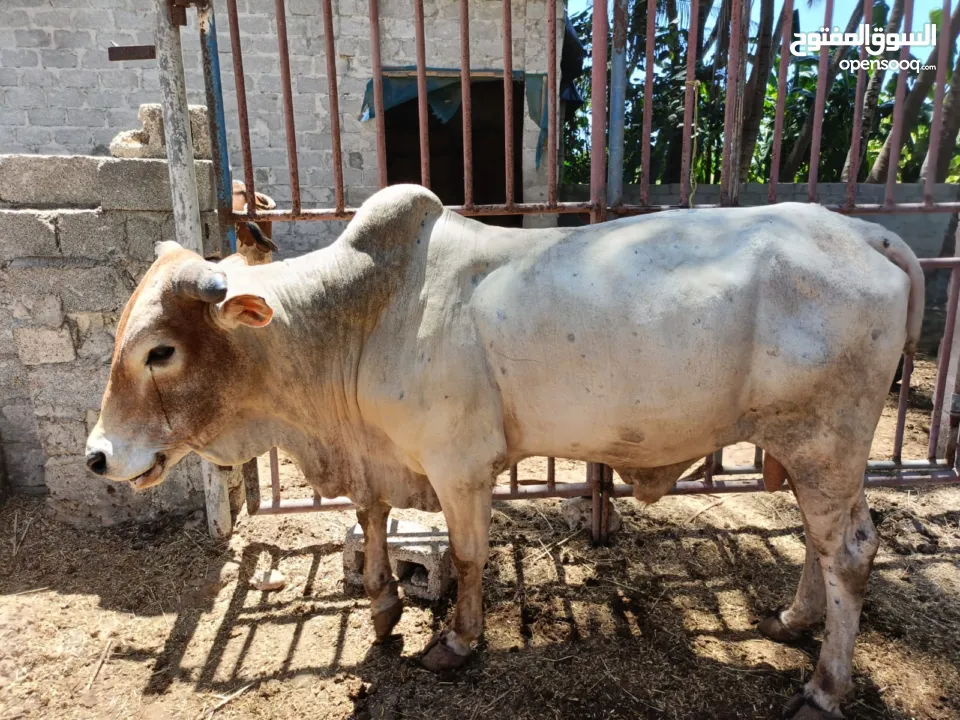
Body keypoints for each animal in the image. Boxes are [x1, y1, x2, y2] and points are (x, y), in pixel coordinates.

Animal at [85, 185, 923, 719]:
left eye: (161, 351)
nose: (97, 457)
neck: (361, 313)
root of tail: (862, 233)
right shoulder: (381, 458)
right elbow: (372, 518)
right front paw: (384, 608)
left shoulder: (459, 466)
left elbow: (464, 557)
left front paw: (455, 640)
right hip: (818, 450)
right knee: (827, 542)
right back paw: (793, 619)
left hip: (825, 440)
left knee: (850, 550)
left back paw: (824, 687)